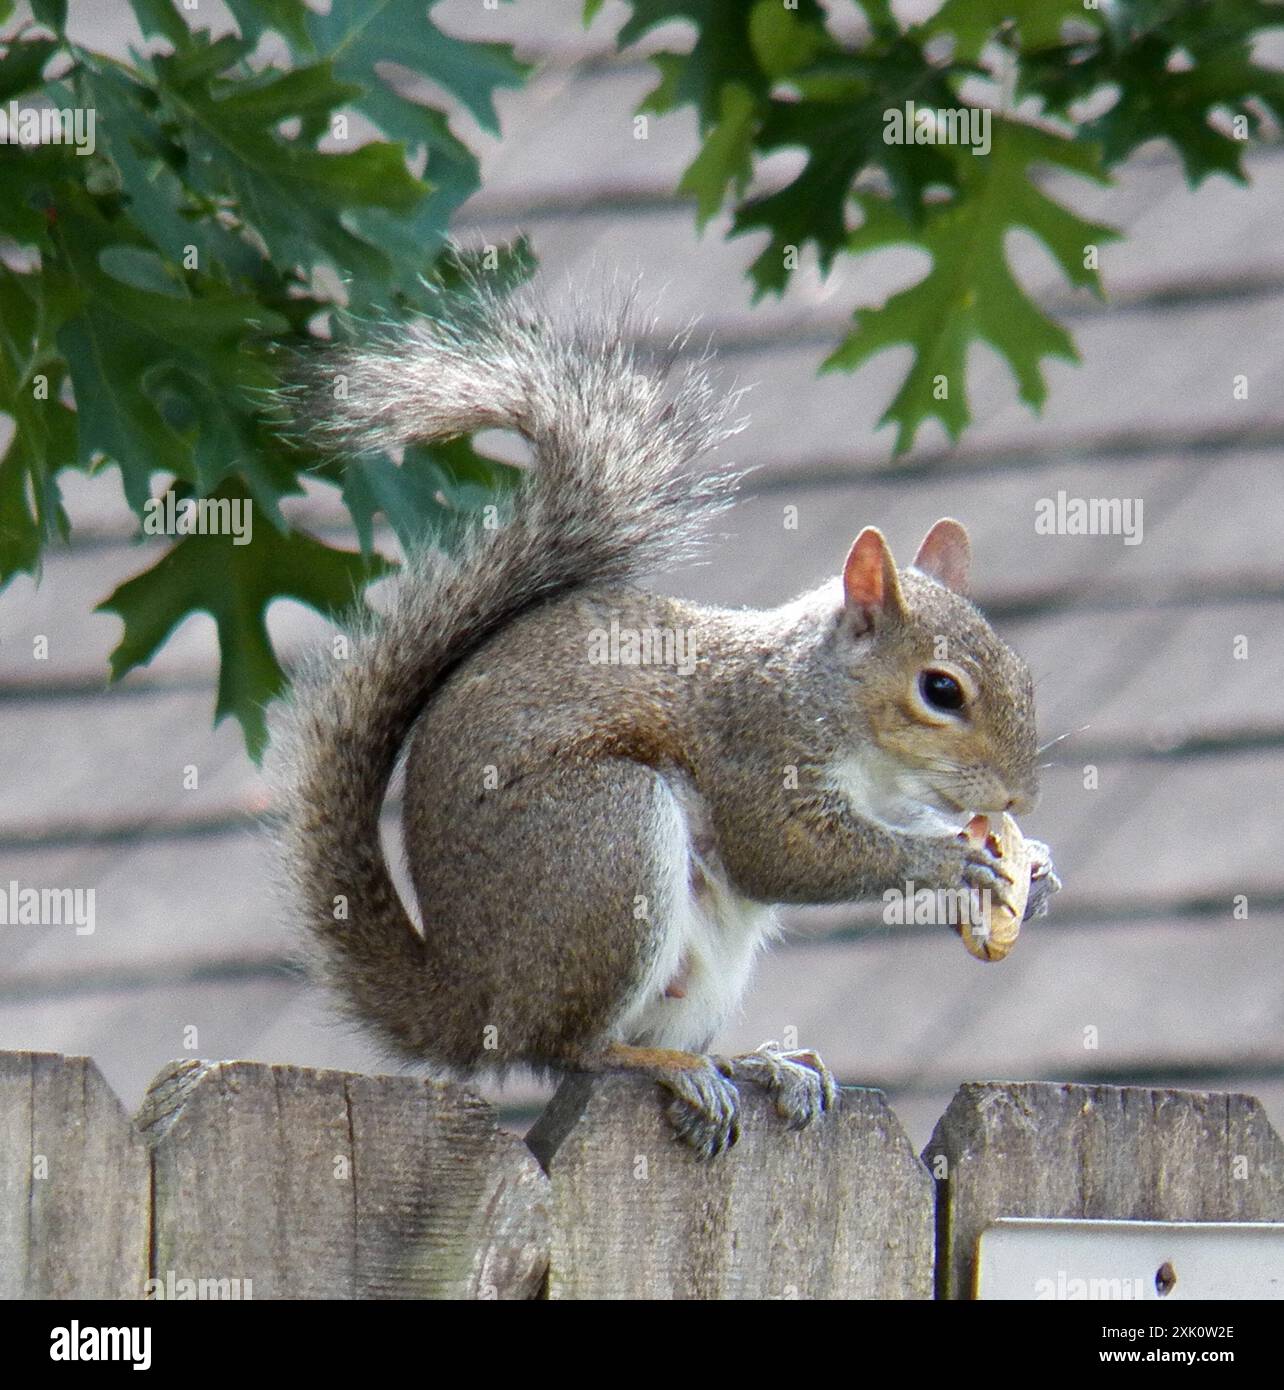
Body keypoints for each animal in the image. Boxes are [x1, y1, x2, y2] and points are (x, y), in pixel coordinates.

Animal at [273, 287, 1060, 1159]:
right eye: (941, 690)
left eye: (1024, 674)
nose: (1019, 799)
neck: (831, 702)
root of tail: (472, 1002)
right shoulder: (757, 749)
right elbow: (785, 854)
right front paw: (949, 865)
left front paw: (1034, 866)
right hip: (603, 841)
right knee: (571, 1049)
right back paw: (664, 1066)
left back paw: (761, 1065)